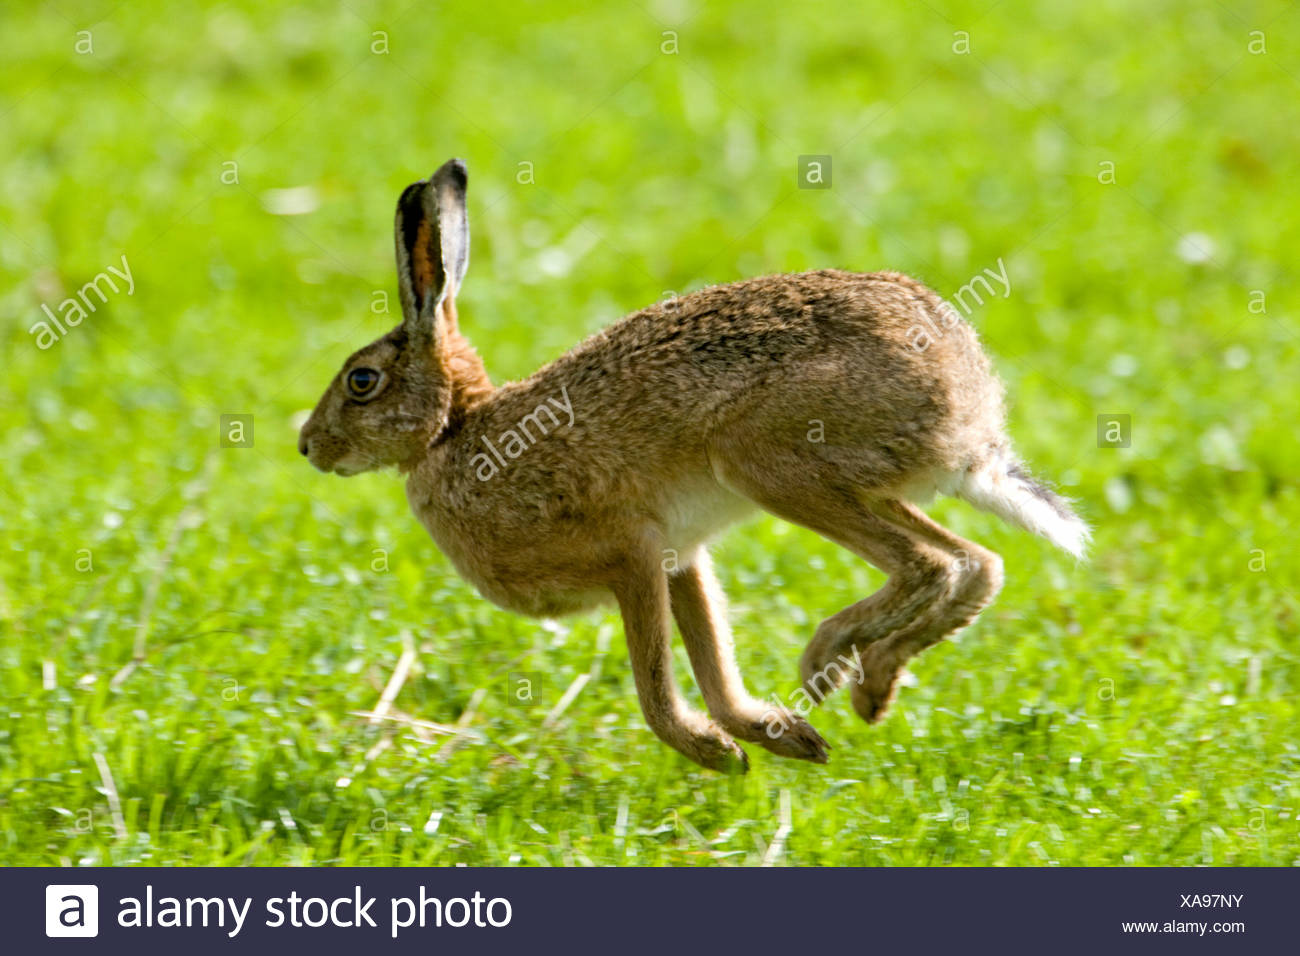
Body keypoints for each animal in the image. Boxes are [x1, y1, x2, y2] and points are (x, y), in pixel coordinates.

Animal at [298, 158, 1090, 773]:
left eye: (361, 381)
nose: (308, 446)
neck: (453, 431)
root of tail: (972, 416)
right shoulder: (679, 558)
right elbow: (713, 663)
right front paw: (775, 737)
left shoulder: (631, 554)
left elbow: (655, 687)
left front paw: (713, 752)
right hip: (859, 483)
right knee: (976, 563)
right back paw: (872, 686)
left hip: (771, 464)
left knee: (932, 564)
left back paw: (830, 658)